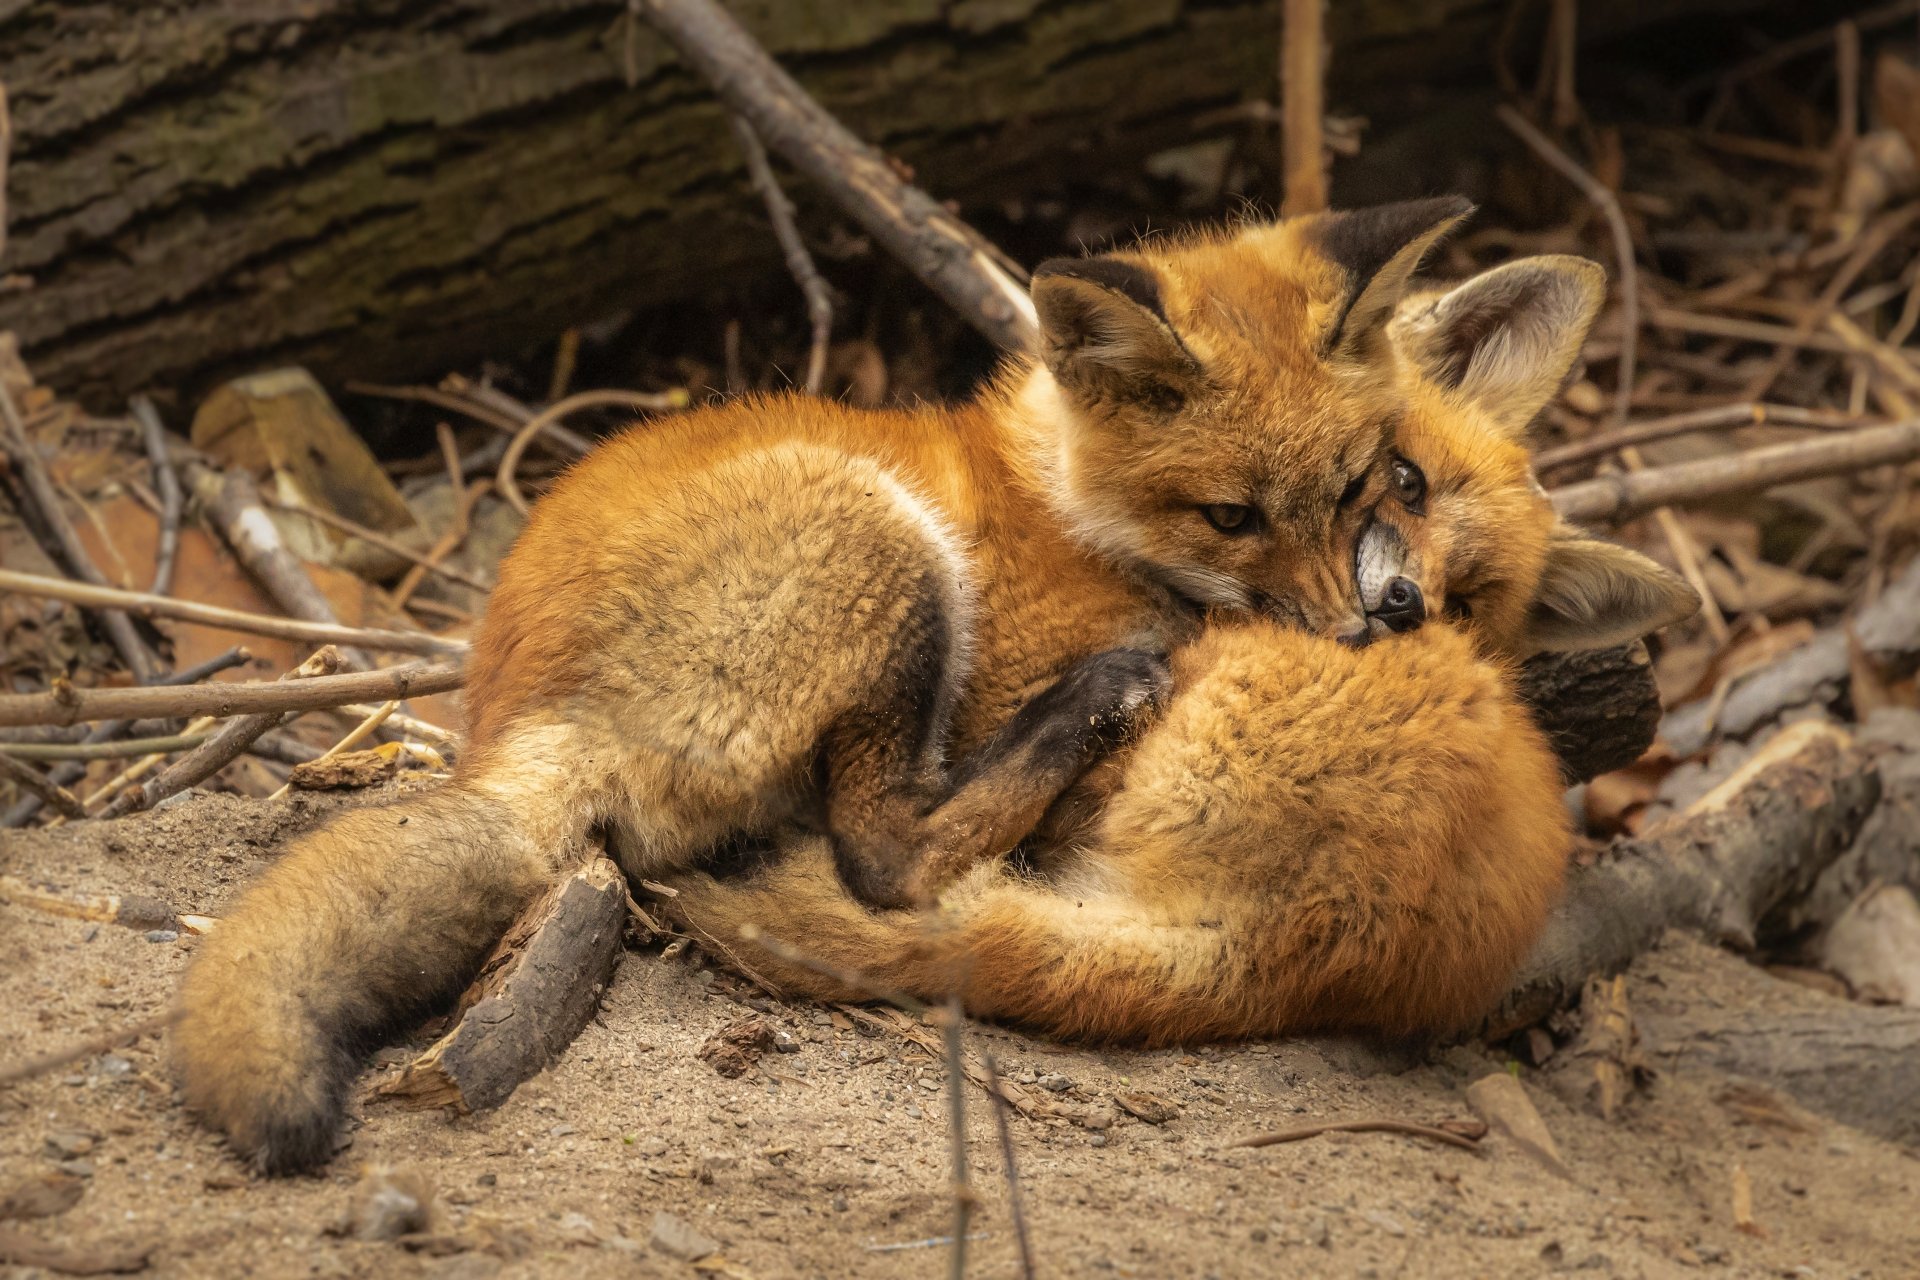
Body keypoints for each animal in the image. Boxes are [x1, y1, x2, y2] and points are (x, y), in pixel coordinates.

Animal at [172, 196, 1505, 1173]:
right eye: (1231, 515)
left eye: (1358, 486)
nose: (1355, 629)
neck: (1062, 504)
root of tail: (516, 727)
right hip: (889, 554)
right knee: (884, 853)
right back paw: (1083, 708)